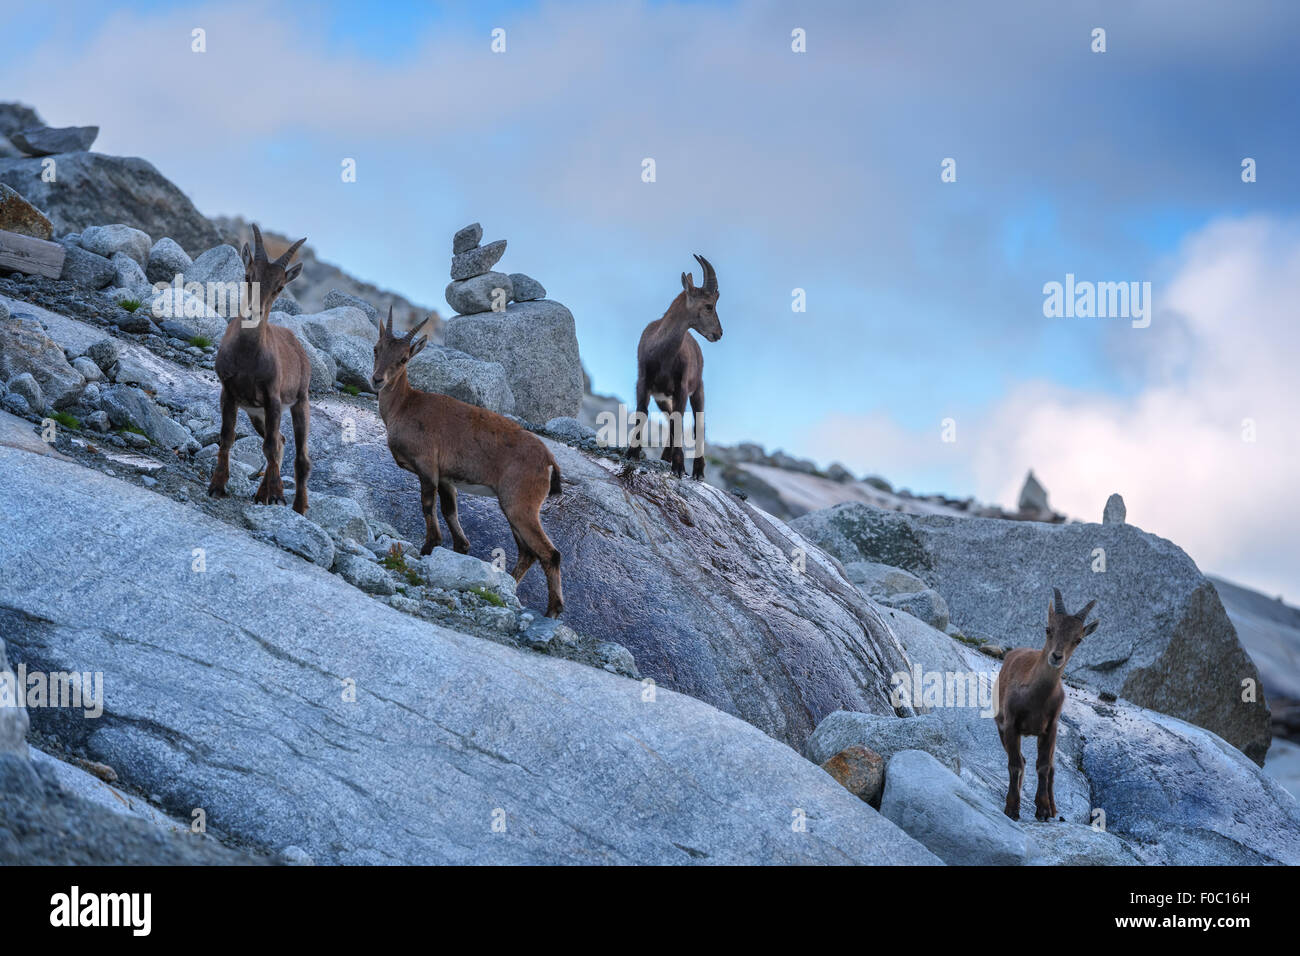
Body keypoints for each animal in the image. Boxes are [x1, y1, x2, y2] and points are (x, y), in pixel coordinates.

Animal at [207, 224, 312, 514]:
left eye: (279, 287)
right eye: (248, 275)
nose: (255, 311)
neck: (247, 358)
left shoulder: (273, 397)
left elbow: (269, 448)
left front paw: (276, 495)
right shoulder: (229, 393)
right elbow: (227, 437)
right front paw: (217, 485)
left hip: (300, 401)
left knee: (298, 455)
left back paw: (297, 506)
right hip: (257, 414)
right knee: (281, 441)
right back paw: (260, 493)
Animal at [371, 308, 565, 617]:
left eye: (403, 359)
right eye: (376, 349)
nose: (377, 380)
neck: (405, 407)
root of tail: (548, 460)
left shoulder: (428, 467)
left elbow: (428, 505)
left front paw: (429, 546)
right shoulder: (447, 478)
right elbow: (450, 512)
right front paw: (460, 547)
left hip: (520, 505)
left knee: (550, 553)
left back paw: (552, 611)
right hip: (513, 506)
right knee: (527, 552)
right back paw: (507, 586)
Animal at [625, 254, 720, 478]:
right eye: (709, 305)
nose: (719, 333)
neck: (662, 354)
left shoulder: (682, 387)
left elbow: (681, 422)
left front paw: (679, 466)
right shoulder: (643, 382)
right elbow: (642, 412)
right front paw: (632, 452)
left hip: (698, 390)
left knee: (698, 425)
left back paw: (697, 470)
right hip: (663, 398)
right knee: (670, 419)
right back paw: (665, 456)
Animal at [993, 588, 1098, 821]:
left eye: (1078, 639)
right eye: (1048, 629)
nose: (1057, 656)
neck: (1035, 698)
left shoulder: (1051, 728)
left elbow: (1043, 766)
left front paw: (1042, 809)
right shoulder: (1011, 725)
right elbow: (1014, 764)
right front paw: (1012, 808)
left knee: (1050, 768)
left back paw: (1053, 807)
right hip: (1001, 725)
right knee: (1021, 760)